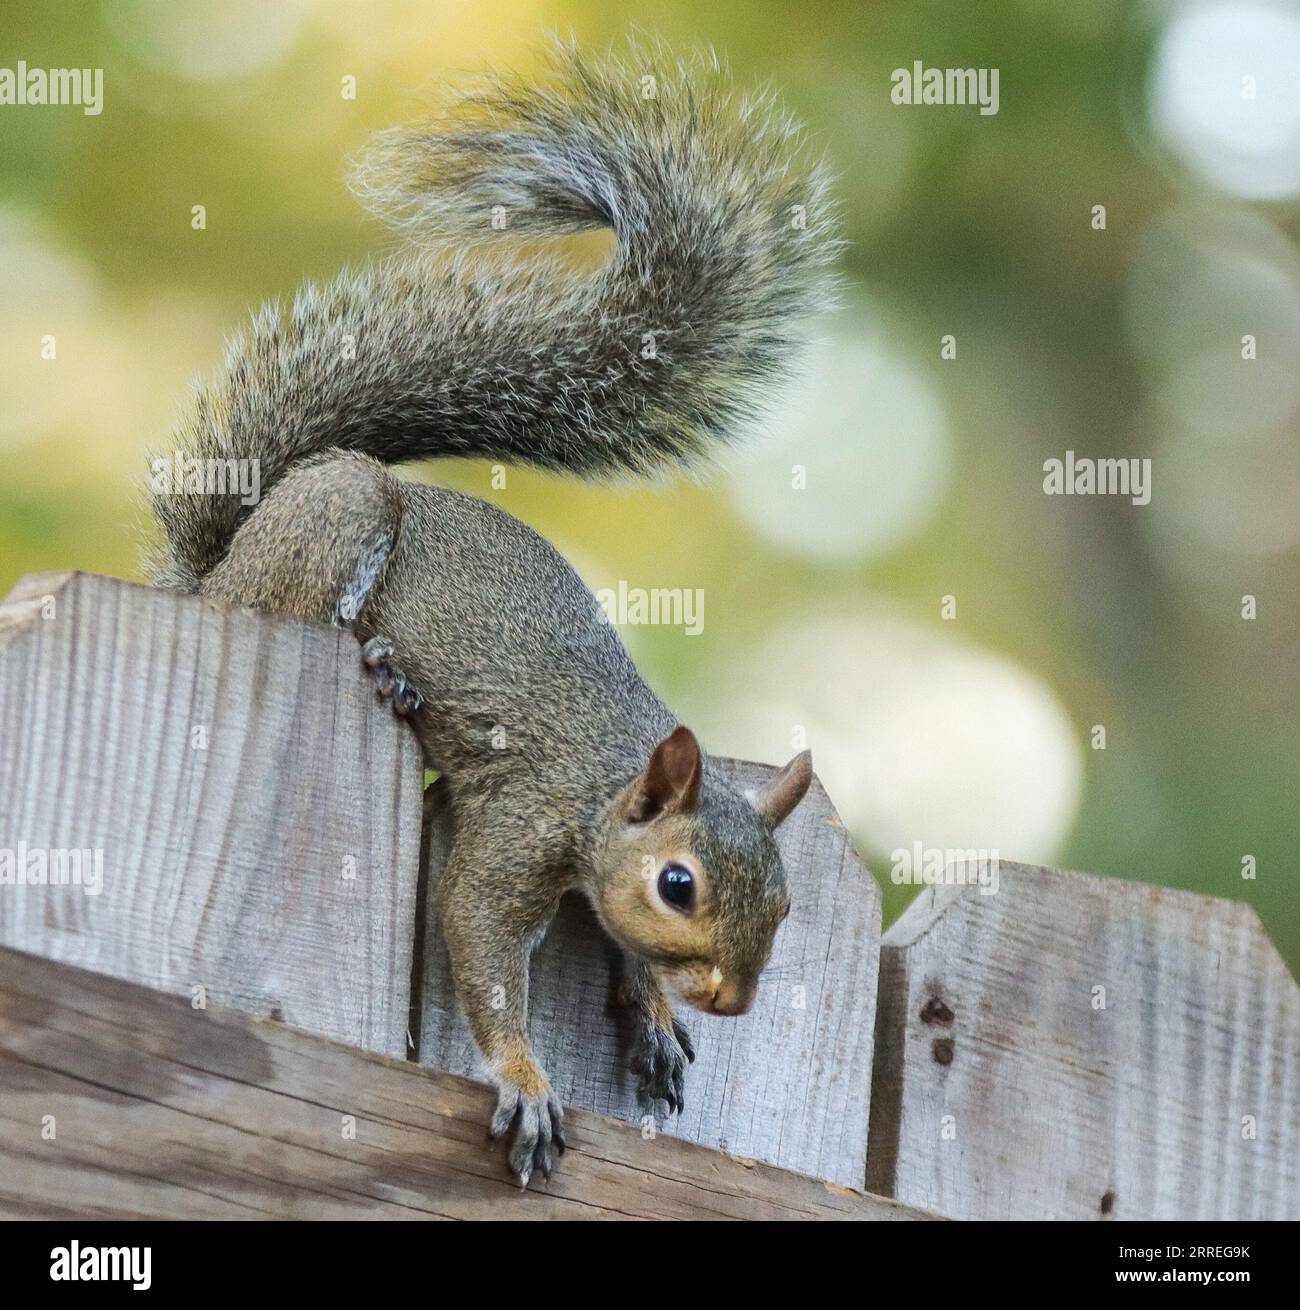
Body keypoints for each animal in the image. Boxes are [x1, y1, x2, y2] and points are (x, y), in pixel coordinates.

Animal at [147, 40, 838, 1187]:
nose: (731, 999)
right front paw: (523, 1076)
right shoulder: (520, 823)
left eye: (784, 902)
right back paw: (376, 663)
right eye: (679, 885)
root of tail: (212, 574)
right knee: (290, 612)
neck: (607, 781)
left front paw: (651, 1013)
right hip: (334, 524)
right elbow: (474, 934)